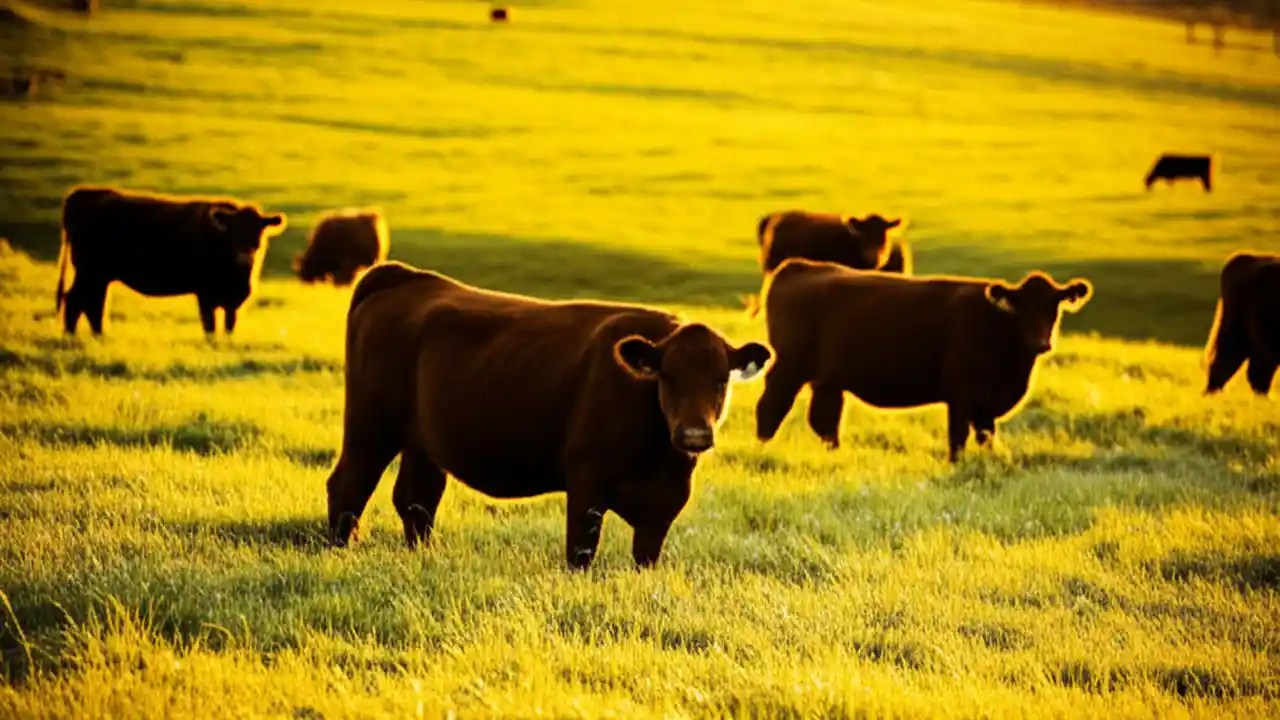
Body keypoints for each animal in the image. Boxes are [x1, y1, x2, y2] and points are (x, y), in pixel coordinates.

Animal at [57, 186, 285, 336]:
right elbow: (210, 326)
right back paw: (73, 337)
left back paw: (98, 336)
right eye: (233, 232)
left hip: (99, 277)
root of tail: (81, 195)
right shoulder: (206, 295)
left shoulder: (233, 301)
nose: (245, 257)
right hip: (90, 273)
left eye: (258, 233)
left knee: (92, 304)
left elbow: (229, 326)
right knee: (77, 301)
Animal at [326, 262, 772, 569]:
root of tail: (405, 277)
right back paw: (340, 548)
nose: (694, 435)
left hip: (422, 442)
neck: (659, 457)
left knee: (416, 499)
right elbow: (580, 553)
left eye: (721, 379)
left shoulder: (663, 506)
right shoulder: (586, 483)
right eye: (669, 376)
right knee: (348, 485)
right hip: (370, 427)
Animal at [755, 259, 1092, 462]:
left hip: (827, 379)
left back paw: (836, 453)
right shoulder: (961, 395)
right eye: (1021, 308)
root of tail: (799, 266)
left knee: (825, 419)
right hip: (789, 365)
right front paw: (956, 465)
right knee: (772, 406)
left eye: (1054, 307)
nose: (1042, 342)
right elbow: (958, 438)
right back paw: (762, 447)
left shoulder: (985, 405)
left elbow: (986, 436)